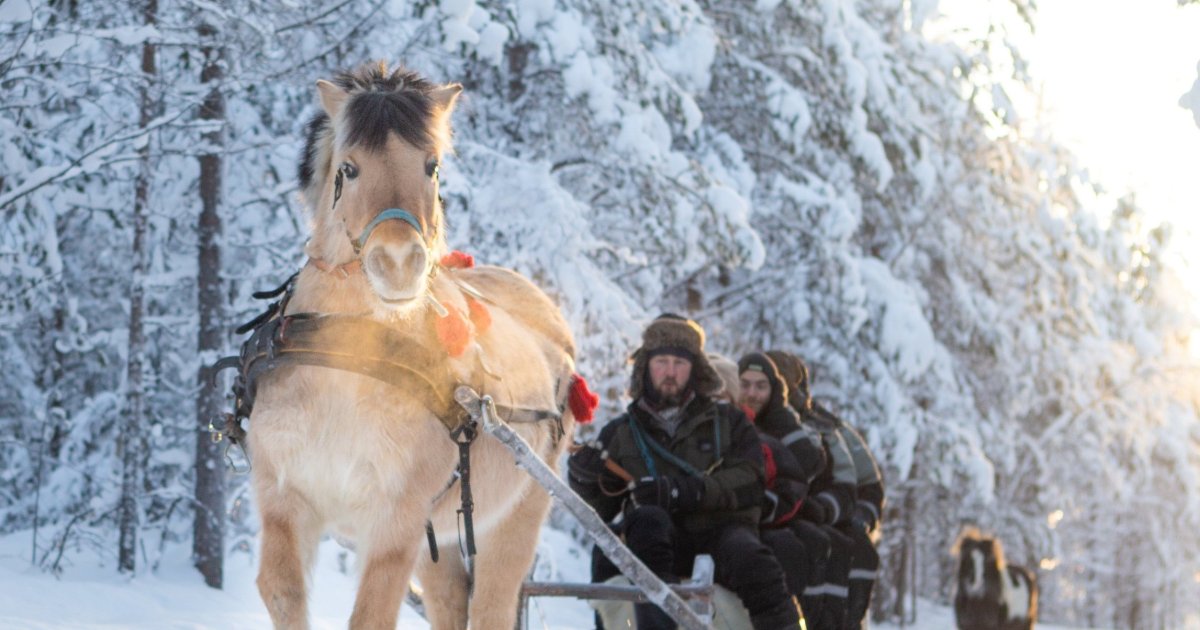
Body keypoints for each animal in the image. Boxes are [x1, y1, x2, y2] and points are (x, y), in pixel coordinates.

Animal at [247, 61, 580, 630]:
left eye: (431, 166)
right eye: (350, 167)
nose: (400, 262)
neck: (346, 366)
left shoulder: (396, 519)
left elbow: (372, 616)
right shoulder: (284, 497)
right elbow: (282, 592)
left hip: (519, 513)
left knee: (490, 605)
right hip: (440, 540)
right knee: (450, 603)